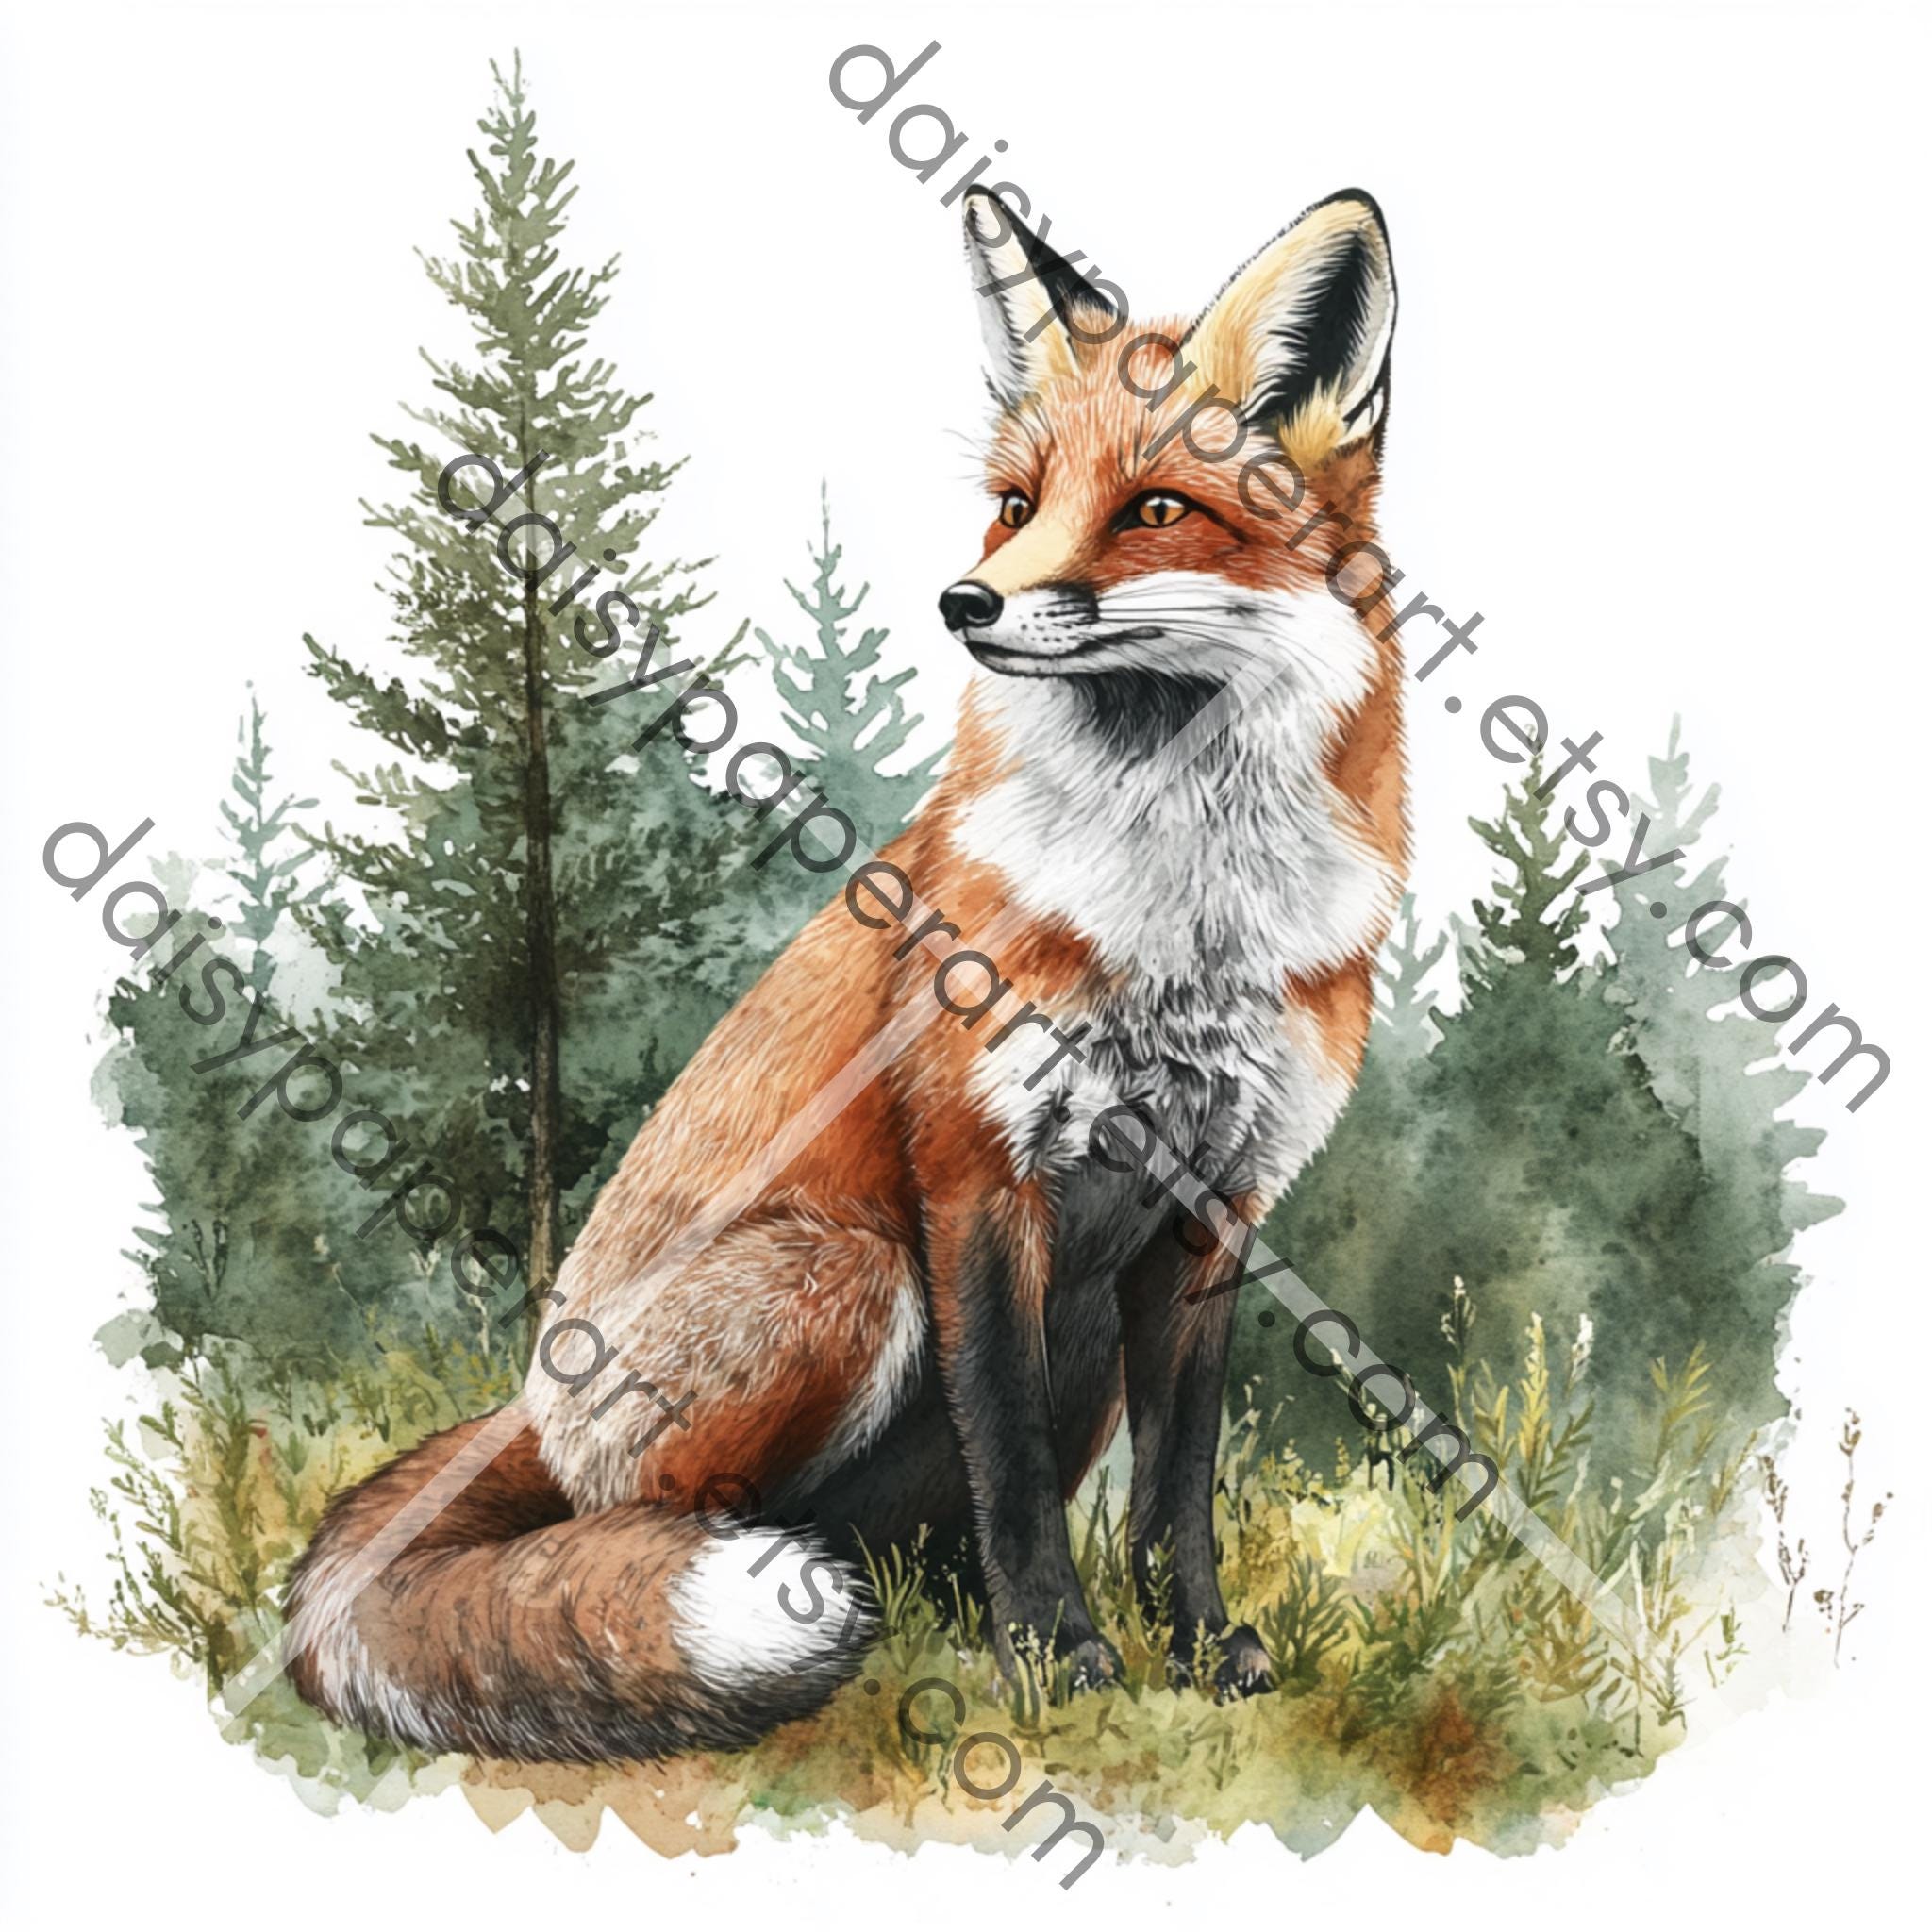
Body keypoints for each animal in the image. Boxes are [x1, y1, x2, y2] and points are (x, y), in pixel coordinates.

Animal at [287, 186, 1407, 1763]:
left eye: (1156, 512)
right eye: (1017, 504)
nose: (966, 601)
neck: (1183, 933)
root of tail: (533, 1403)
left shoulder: (1218, 1213)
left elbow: (1172, 1495)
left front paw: (1194, 1652)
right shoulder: (975, 1182)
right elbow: (1017, 1483)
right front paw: (1058, 1663)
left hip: (1061, 1334)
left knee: (910, 1537)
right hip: (852, 1275)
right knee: (657, 1532)